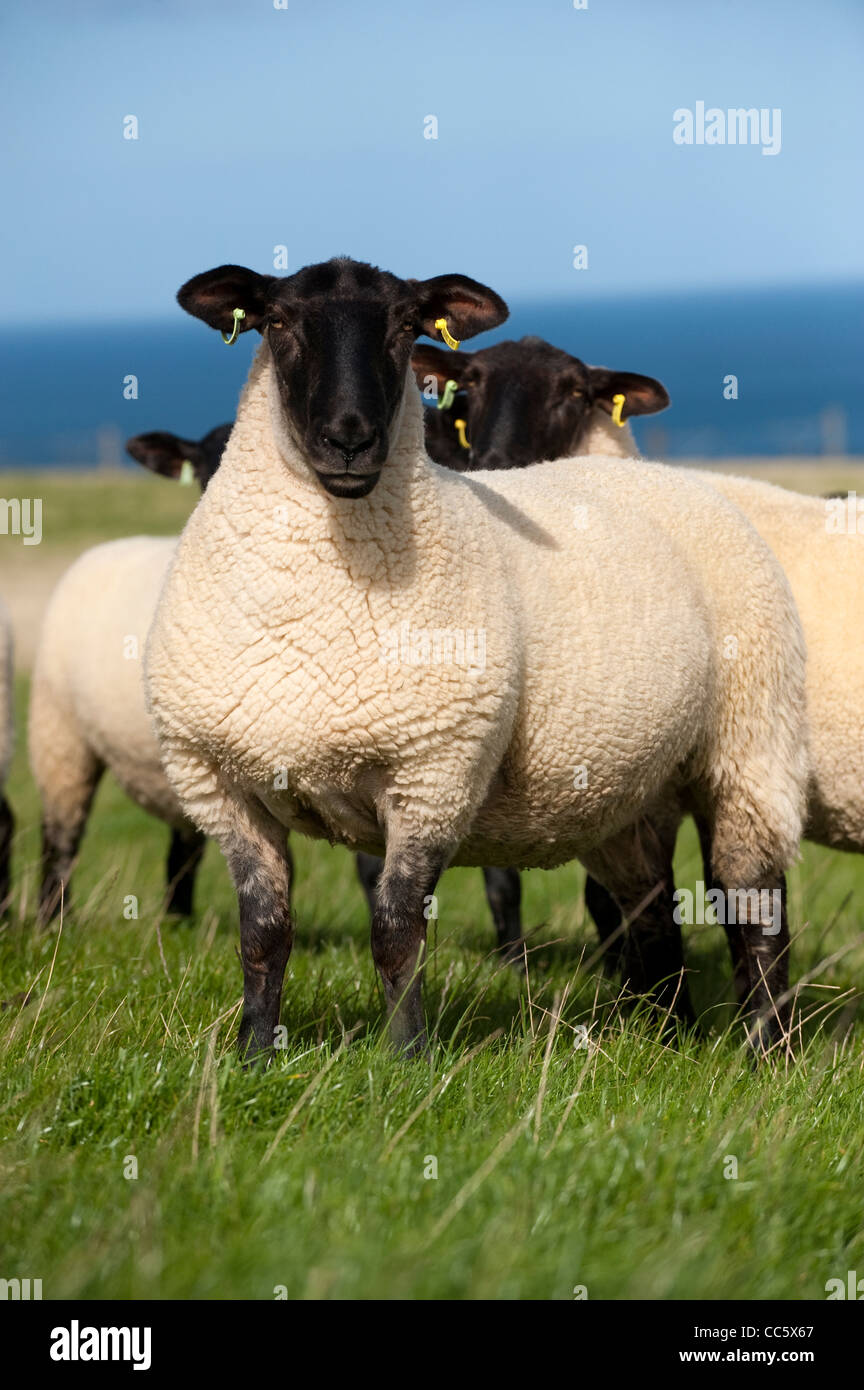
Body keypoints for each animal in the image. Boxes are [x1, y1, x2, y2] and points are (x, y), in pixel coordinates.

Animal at [29, 425, 231, 923]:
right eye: (203, 473)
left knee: (184, 846)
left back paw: (178, 919)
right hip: (59, 731)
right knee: (60, 835)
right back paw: (52, 921)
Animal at [143, 256, 808, 1064]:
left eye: (406, 326)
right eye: (276, 323)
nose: (349, 439)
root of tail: (665, 476)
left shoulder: (434, 770)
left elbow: (397, 932)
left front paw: (405, 1060)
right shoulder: (219, 785)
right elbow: (264, 935)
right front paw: (253, 1057)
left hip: (749, 742)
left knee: (754, 903)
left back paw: (766, 1050)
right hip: (628, 788)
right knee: (650, 913)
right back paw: (664, 1037)